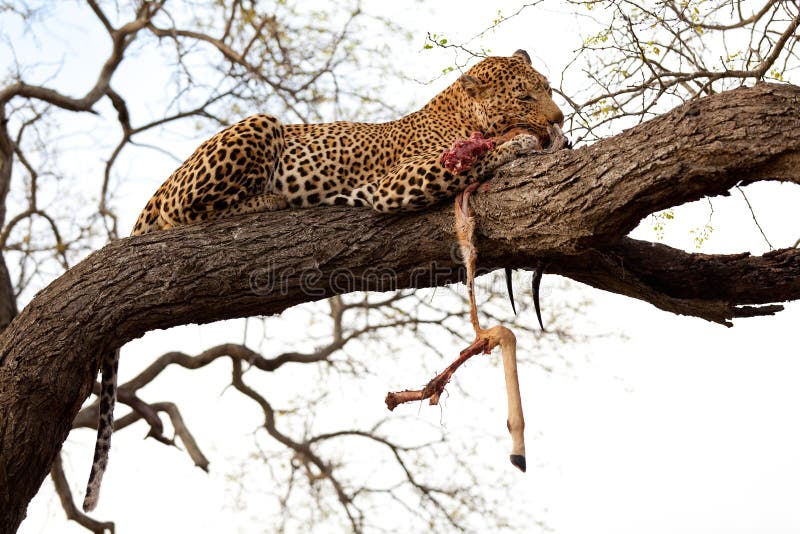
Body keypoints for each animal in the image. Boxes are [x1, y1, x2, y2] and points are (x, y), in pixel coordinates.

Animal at [83, 49, 566, 512]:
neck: (463, 114)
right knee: (185, 213)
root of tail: (160, 188)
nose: (559, 119)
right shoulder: (396, 182)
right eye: (525, 97)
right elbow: (477, 157)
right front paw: (523, 142)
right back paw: (269, 199)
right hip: (256, 129)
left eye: (547, 89)